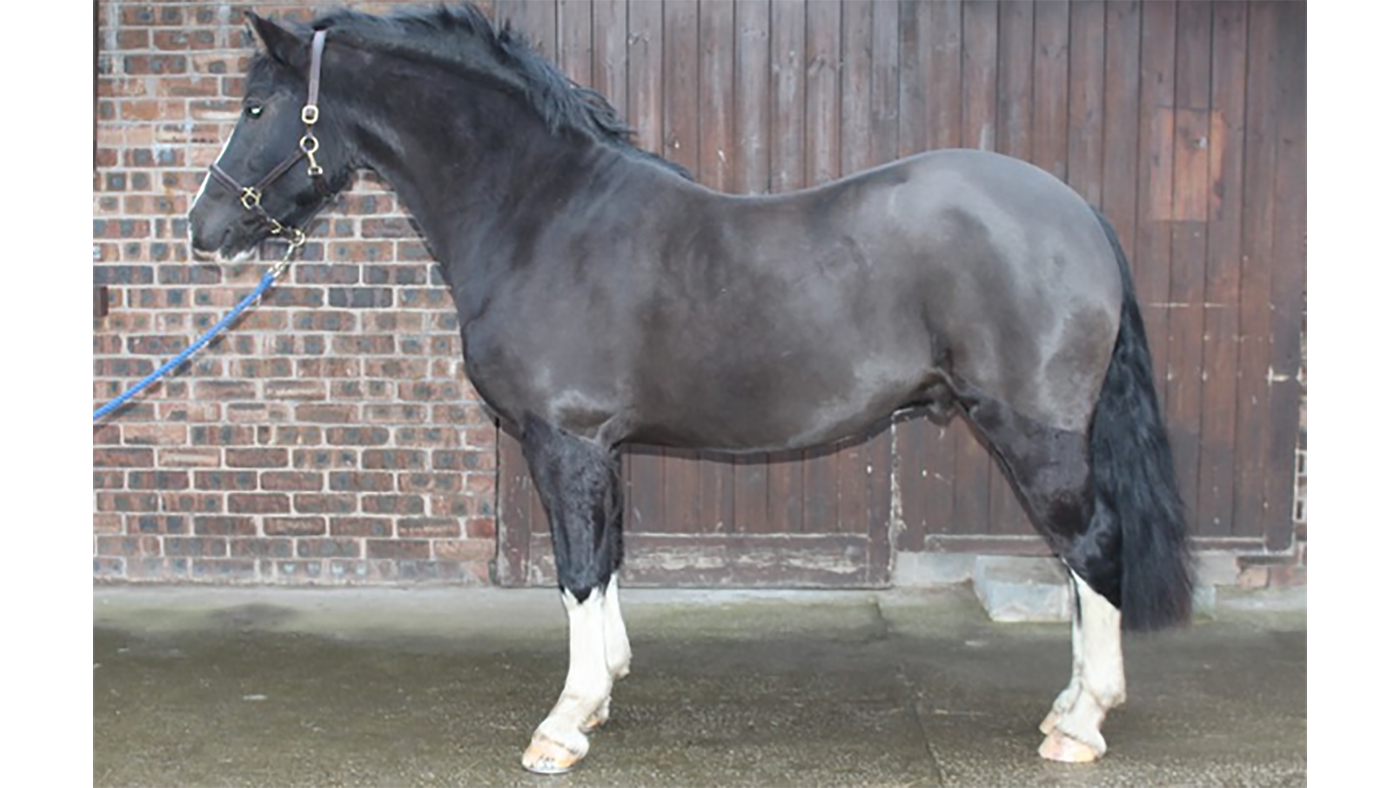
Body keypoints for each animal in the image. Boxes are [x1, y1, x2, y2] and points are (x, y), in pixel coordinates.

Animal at [187, 5, 1194, 773]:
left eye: (255, 104)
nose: (203, 227)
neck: (543, 214)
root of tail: (1077, 211)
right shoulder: (601, 449)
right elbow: (607, 559)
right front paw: (600, 696)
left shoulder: (564, 440)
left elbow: (577, 569)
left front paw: (563, 725)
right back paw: (1067, 705)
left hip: (1035, 434)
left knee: (1093, 548)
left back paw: (1081, 723)